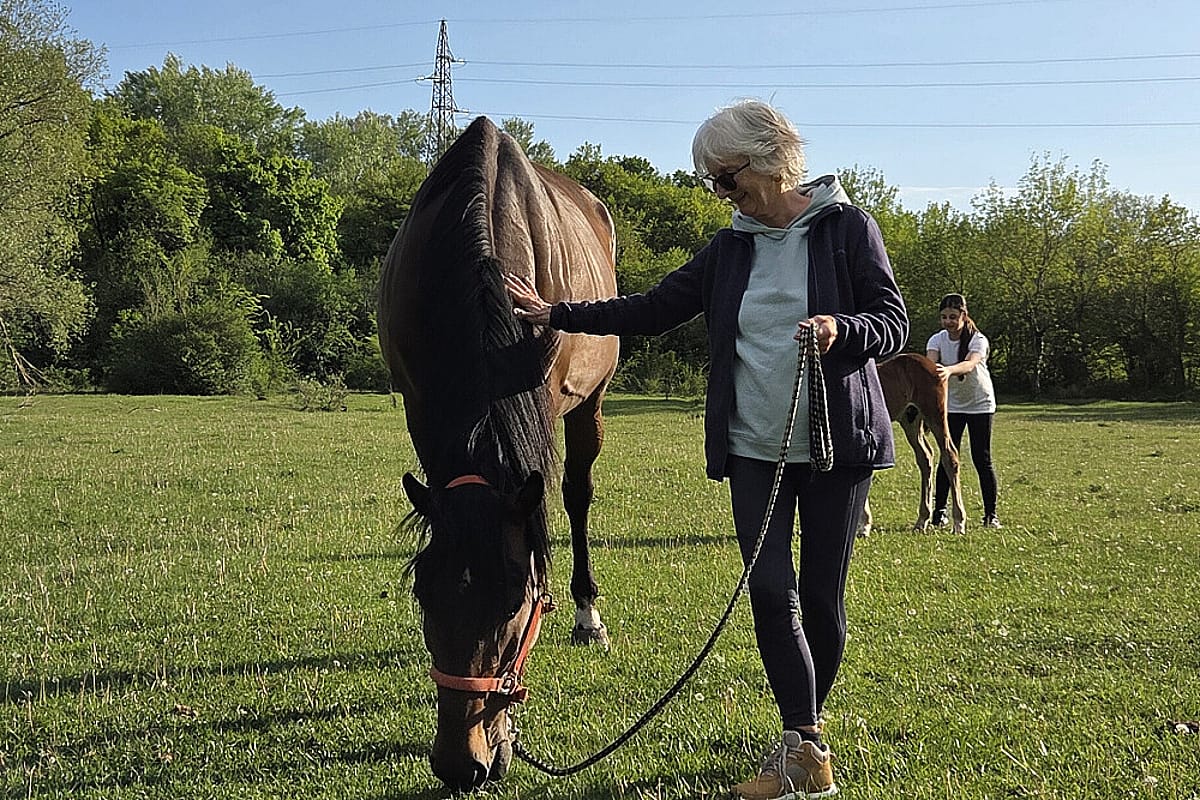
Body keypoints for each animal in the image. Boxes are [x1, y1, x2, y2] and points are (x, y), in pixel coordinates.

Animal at [377, 116, 619, 790]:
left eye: (517, 603)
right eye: (423, 591)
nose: (464, 765)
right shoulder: (420, 405)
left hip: (590, 403)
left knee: (577, 495)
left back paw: (587, 614)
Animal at [859, 353, 966, 536]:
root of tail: (935, 366)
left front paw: (864, 525)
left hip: (935, 415)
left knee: (949, 455)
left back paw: (959, 522)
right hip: (910, 421)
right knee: (926, 458)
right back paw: (922, 520)